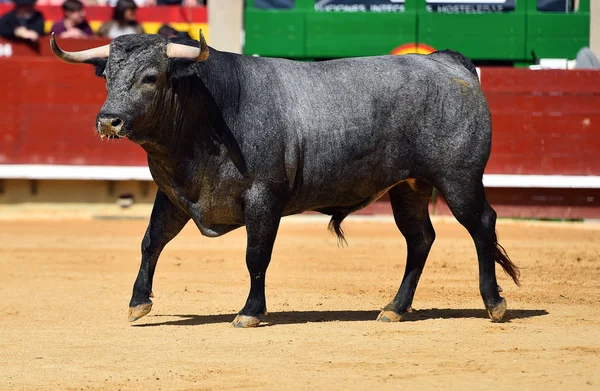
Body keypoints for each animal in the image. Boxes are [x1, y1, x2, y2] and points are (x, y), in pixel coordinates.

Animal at [50, 33, 520, 328]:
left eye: (150, 77)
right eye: (108, 76)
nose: (108, 120)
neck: (211, 111)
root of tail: (446, 61)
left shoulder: (264, 198)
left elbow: (256, 256)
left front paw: (250, 312)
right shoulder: (174, 195)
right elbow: (151, 242)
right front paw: (138, 303)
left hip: (459, 178)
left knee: (482, 225)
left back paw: (495, 304)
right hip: (409, 187)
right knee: (420, 239)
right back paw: (394, 308)